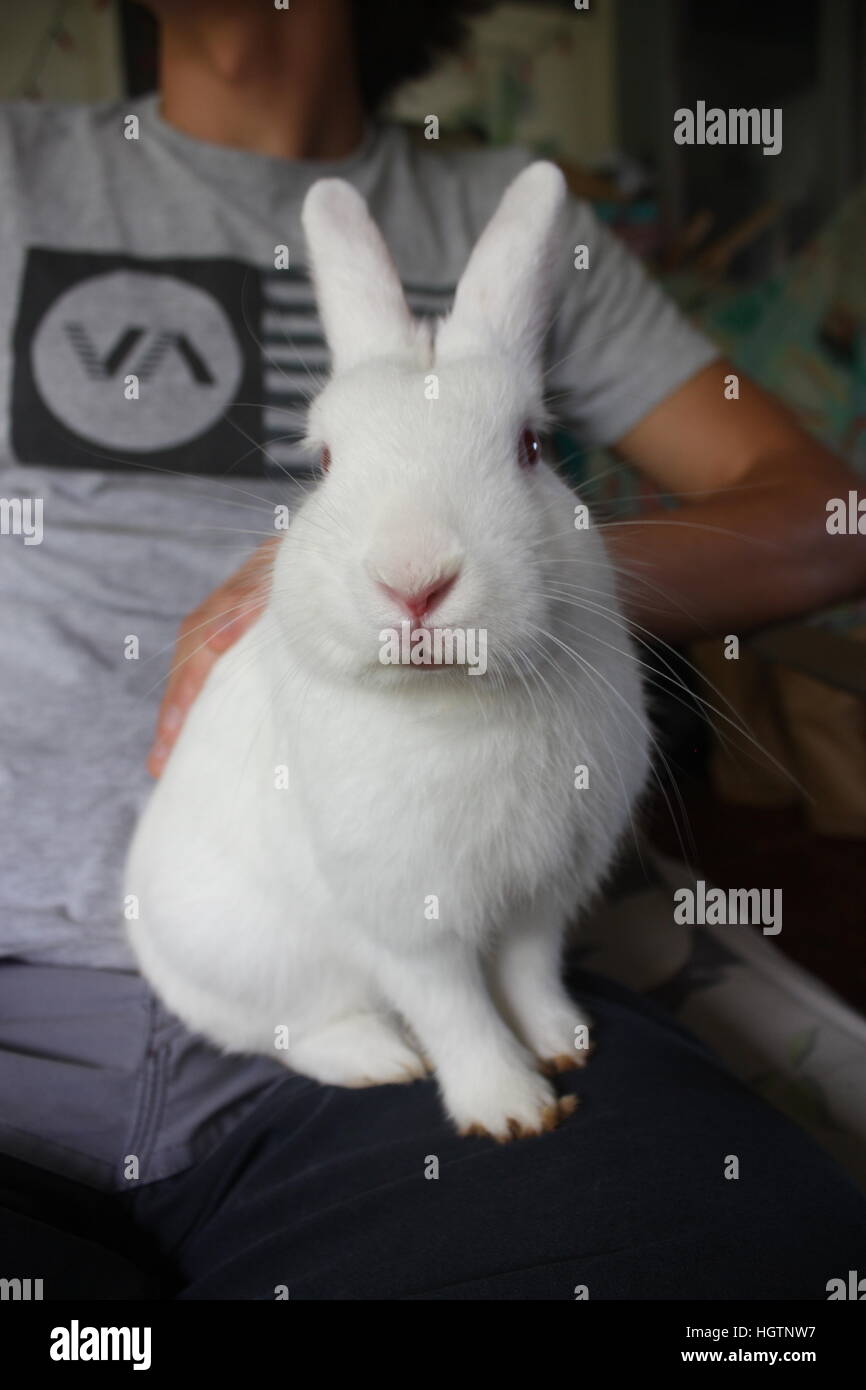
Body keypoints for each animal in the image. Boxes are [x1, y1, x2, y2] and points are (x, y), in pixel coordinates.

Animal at [125, 161, 651, 1141]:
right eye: (326, 460)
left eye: (531, 446)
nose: (414, 580)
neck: (450, 703)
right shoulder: (406, 920)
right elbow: (457, 1010)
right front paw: (511, 1109)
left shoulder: (543, 894)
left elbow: (528, 973)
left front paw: (563, 1043)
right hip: (259, 961)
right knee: (289, 1030)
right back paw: (378, 1057)